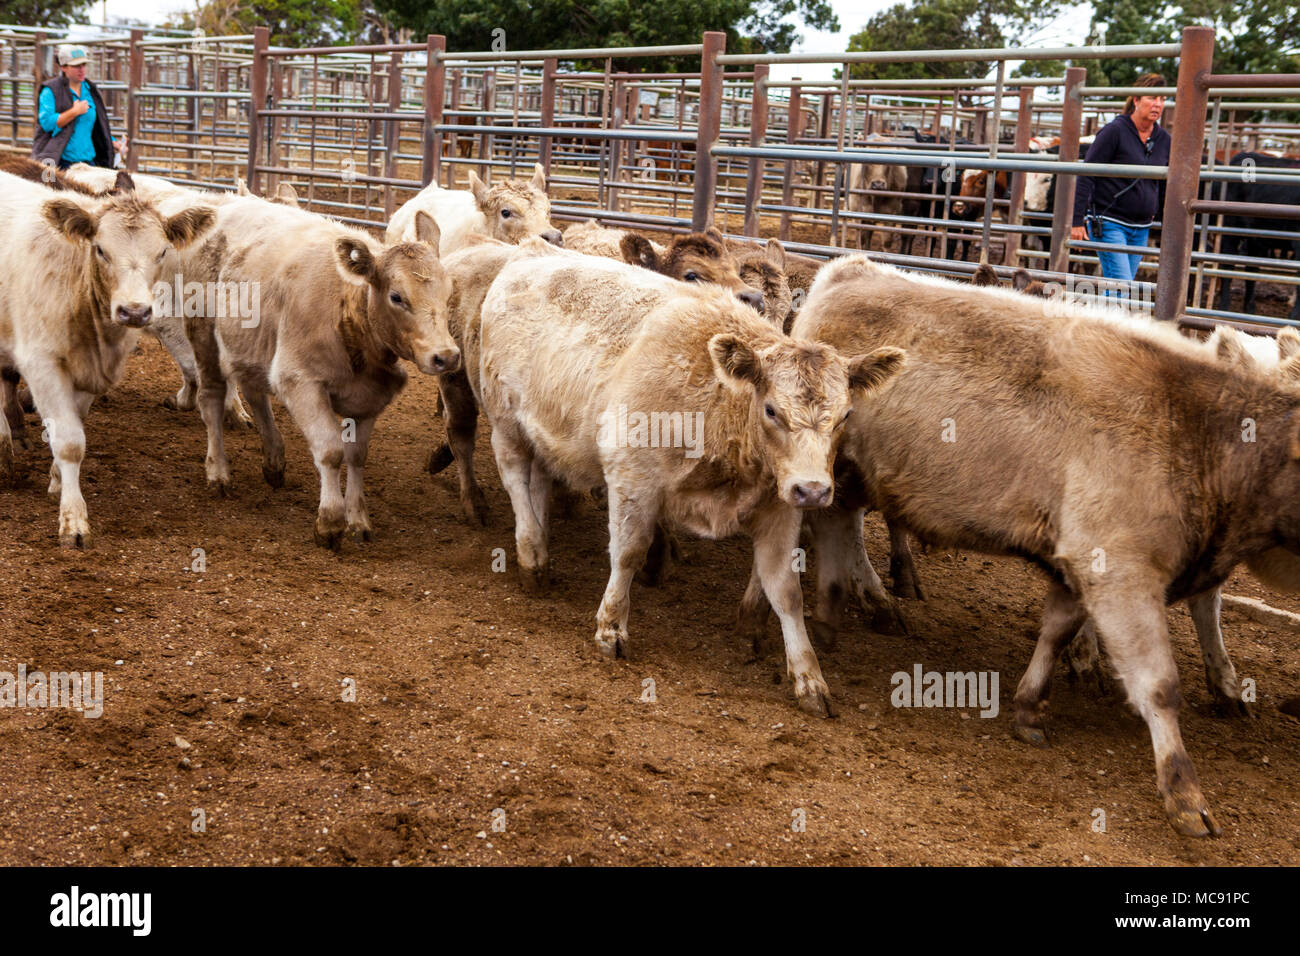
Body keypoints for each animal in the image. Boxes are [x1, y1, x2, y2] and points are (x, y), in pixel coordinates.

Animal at [0, 170, 215, 546]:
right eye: (100, 249)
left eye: (162, 251)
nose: (135, 311)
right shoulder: (42, 365)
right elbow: (70, 441)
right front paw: (73, 522)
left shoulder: (90, 375)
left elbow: (73, 429)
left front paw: (57, 480)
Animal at [185, 199, 459, 548]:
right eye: (397, 297)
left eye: (449, 293)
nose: (446, 356)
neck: (347, 311)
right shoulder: (300, 382)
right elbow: (330, 451)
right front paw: (330, 520)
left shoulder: (370, 398)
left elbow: (357, 456)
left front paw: (358, 520)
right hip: (203, 336)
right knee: (211, 400)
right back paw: (218, 472)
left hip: (251, 347)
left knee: (255, 394)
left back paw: (274, 461)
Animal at [470, 252, 904, 714]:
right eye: (771, 410)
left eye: (845, 416)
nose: (815, 490)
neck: (714, 405)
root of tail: (530, 256)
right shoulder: (632, 480)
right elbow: (628, 554)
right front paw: (611, 628)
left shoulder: (780, 507)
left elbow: (786, 590)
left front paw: (809, 678)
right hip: (505, 420)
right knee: (515, 476)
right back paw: (531, 554)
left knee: (536, 481)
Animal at [780, 254, 1300, 836]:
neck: (1197, 430)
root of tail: (851, 268)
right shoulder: (1122, 574)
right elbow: (1160, 684)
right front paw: (1185, 795)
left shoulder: (1082, 565)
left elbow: (1055, 632)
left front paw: (1031, 706)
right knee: (834, 526)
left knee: (838, 525)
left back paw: (844, 609)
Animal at [1212, 152, 1300, 321]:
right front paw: (1294, 317)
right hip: (1230, 230)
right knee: (1227, 266)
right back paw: (1224, 307)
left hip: (1256, 238)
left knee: (1251, 270)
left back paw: (1249, 309)